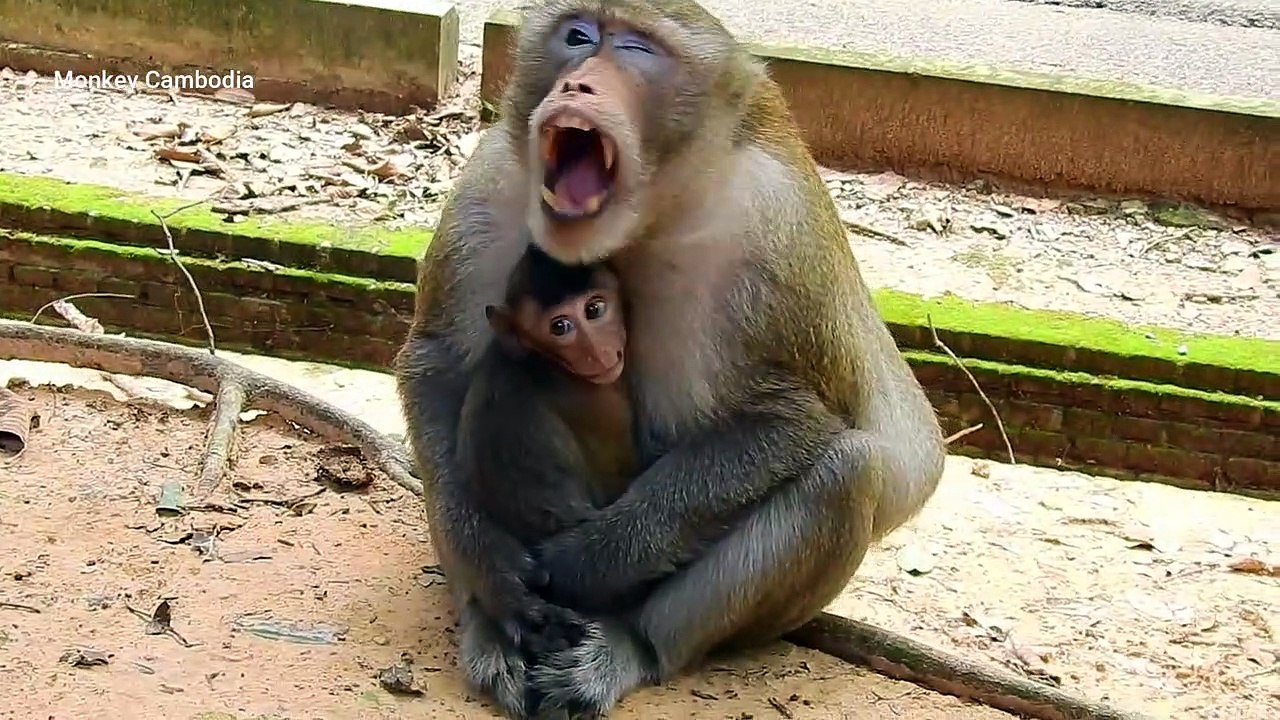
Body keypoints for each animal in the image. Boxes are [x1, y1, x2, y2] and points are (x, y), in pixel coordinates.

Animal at [394, 1, 946, 718]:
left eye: (636, 50)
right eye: (578, 37)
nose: (578, 84)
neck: (643, 219)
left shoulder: (775, 236)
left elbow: (788, 420)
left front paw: (586, 563)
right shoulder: (490, 186)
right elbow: (438, 362)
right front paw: (490, 565)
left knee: (848, 472)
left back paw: (631, 644)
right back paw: (490, 624)